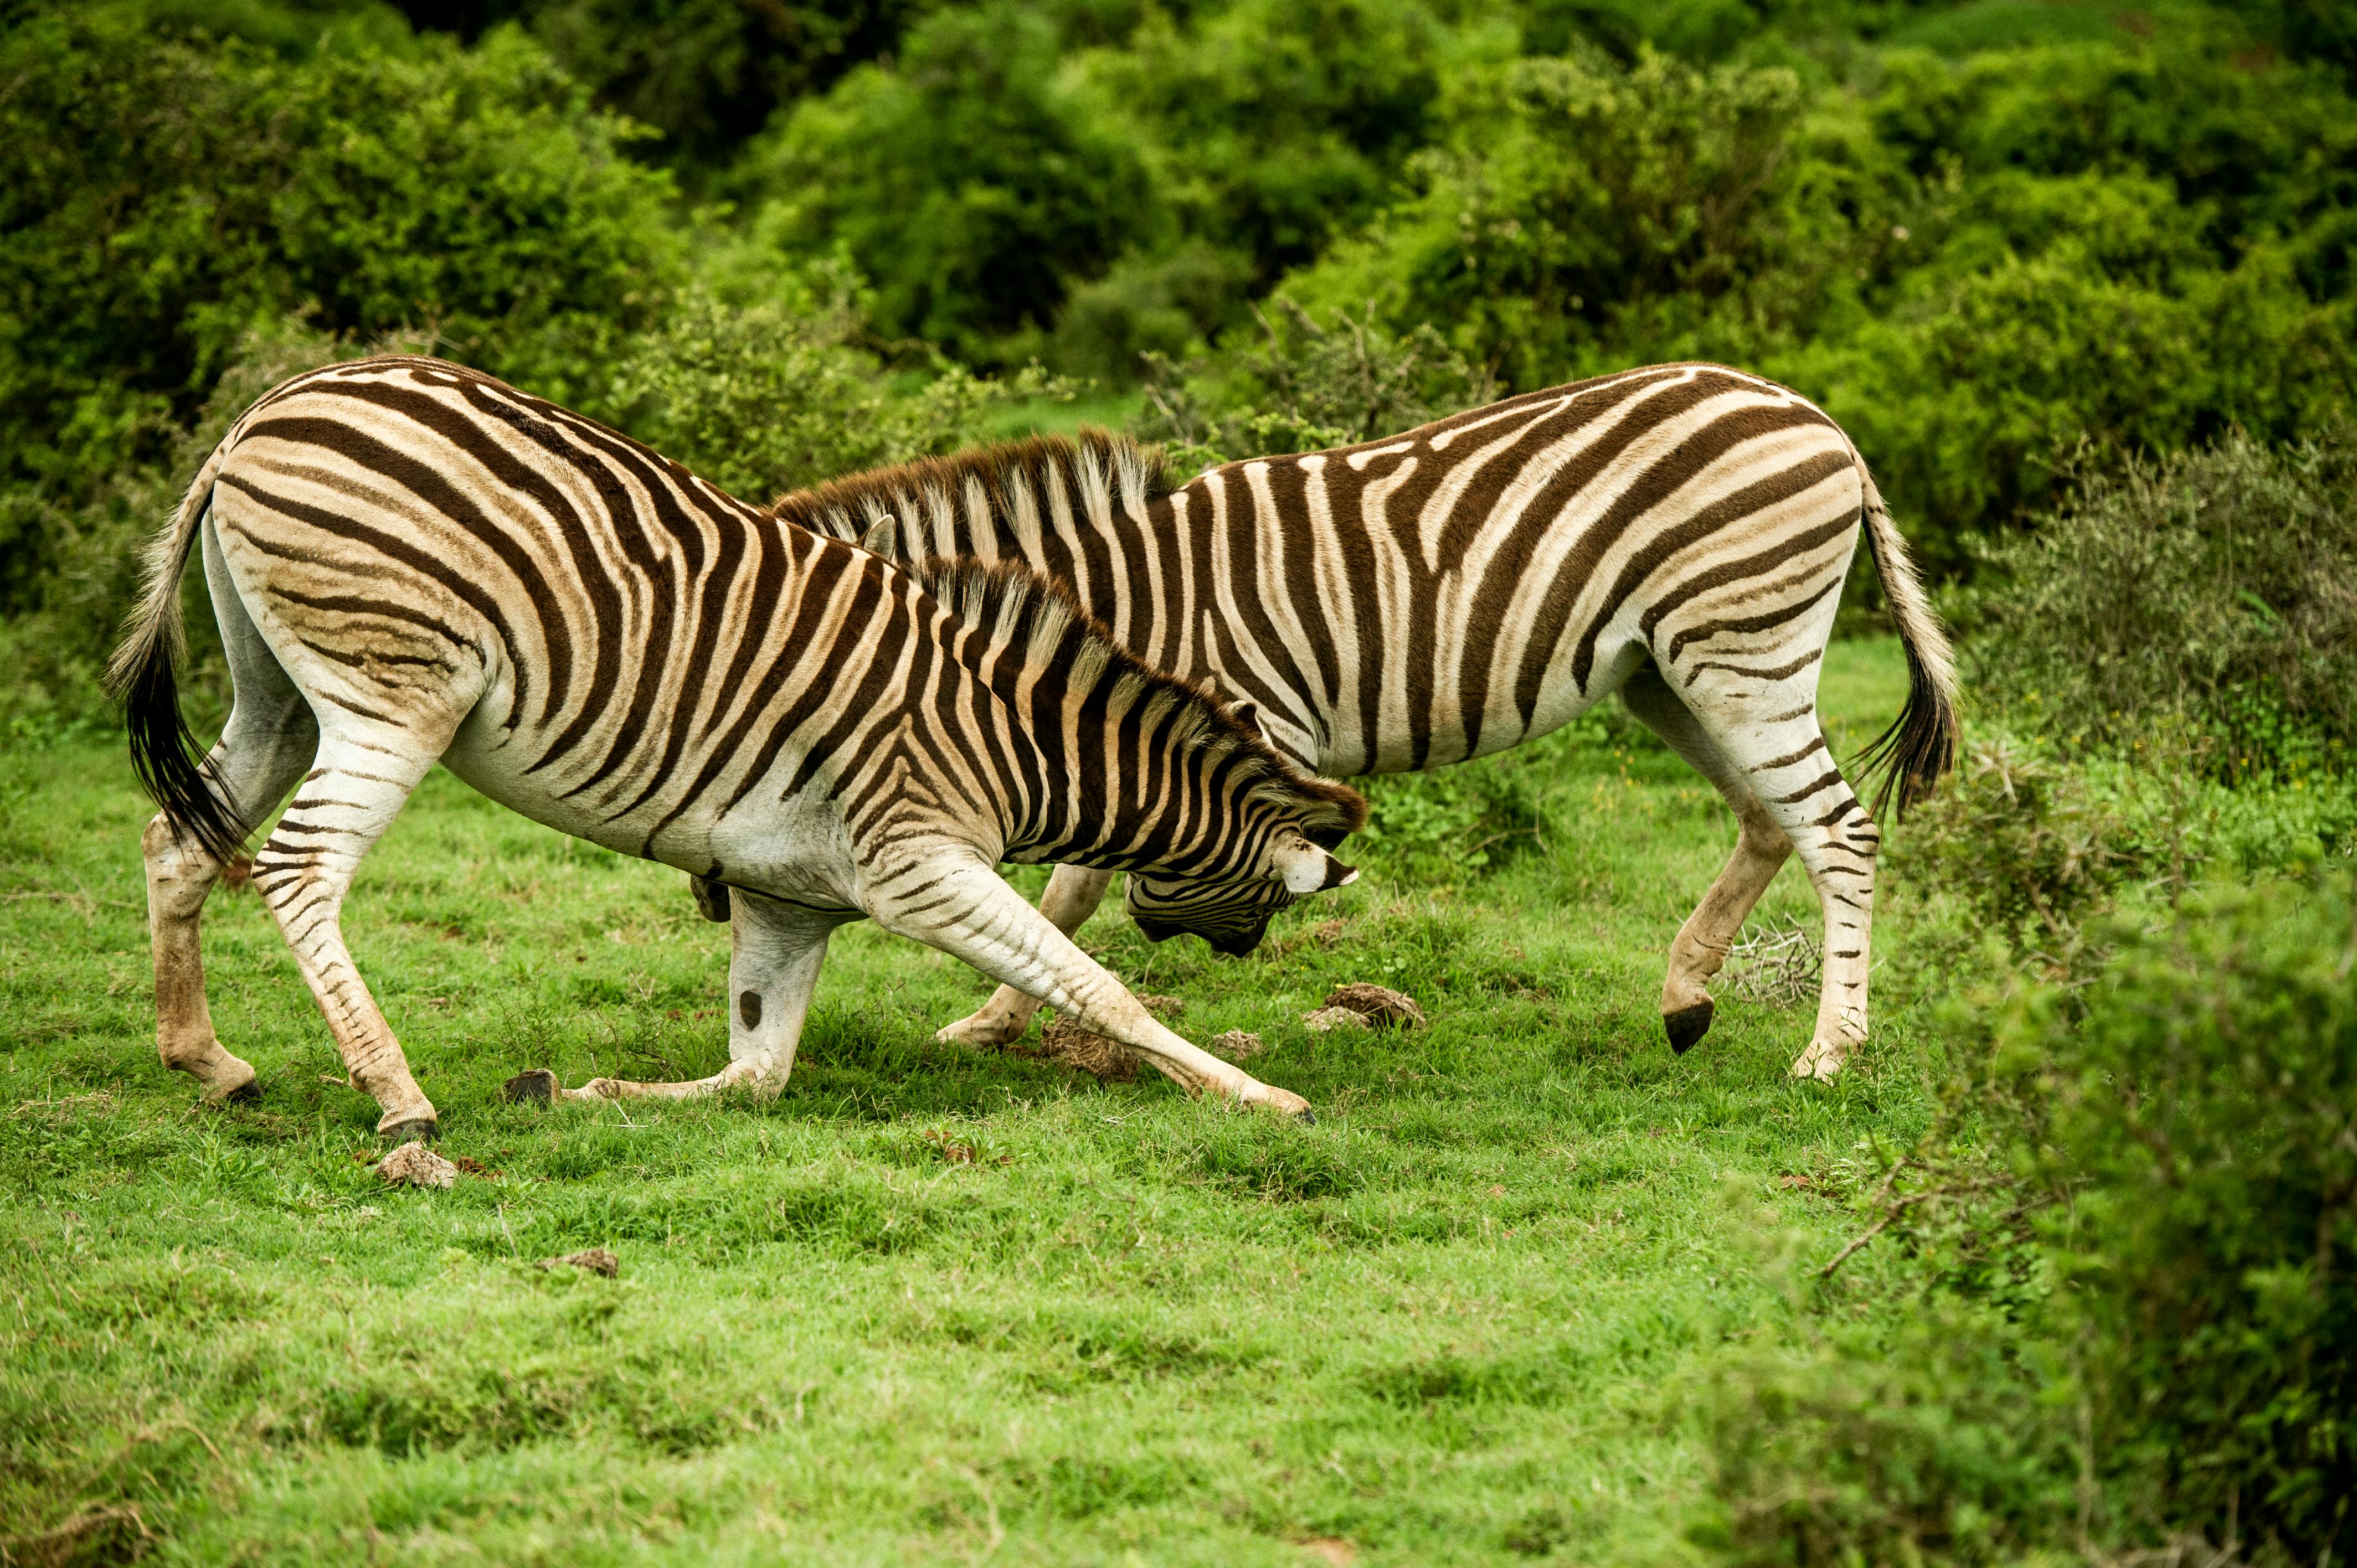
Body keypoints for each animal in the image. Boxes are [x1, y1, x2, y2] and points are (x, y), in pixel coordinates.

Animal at [108, 355, 1365, 1139]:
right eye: (1273, 897)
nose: (1240, 951)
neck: (1010, 734)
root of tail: (262, 415)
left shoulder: (787, 895)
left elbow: (756, 1072)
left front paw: (593, 1093)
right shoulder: (918, 863)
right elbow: (1096, 987)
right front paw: (1260, 1099)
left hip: (280, 695)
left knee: (181, 834)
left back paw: (207, 1062)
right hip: (393, 691)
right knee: (296, 867)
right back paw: (398, 1095)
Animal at [762, 362, 1959, 1080]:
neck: (1120, 605)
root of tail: (1822, 422)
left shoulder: (1193, 731)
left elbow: (1075, 888)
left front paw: (1004, 1015)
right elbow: (1076, 889)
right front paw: (993, 1023)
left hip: (1741, 645)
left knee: (1837, 832)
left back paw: (1830, 1052)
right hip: (1667, 670)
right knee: (1768, 822)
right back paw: (1684, 999)